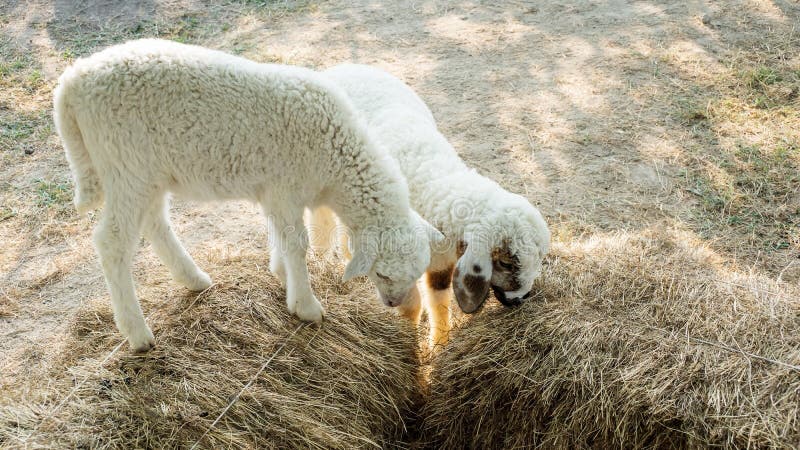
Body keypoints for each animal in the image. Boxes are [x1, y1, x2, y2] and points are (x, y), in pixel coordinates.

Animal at [53, 40, 444, 352]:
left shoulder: (277, 192)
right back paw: (137, 333)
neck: (337, 161)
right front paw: (305, 306)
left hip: (147, 173)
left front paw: (282, 274)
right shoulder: (285, 187)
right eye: (382, 274)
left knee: (155, 223)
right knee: (112, 242)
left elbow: (283, 237)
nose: (393, 303)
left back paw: (193, 279)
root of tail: (70, 82)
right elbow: (297, 243)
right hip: (125, 165)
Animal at [309, 64, 550, 346]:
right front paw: (411, 344)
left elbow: (439, 303)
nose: (521, 300)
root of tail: (343, 66)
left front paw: (438, 345)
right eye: (506, 263)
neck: (438, 187)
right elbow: (412, 306)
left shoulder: (440, 265)